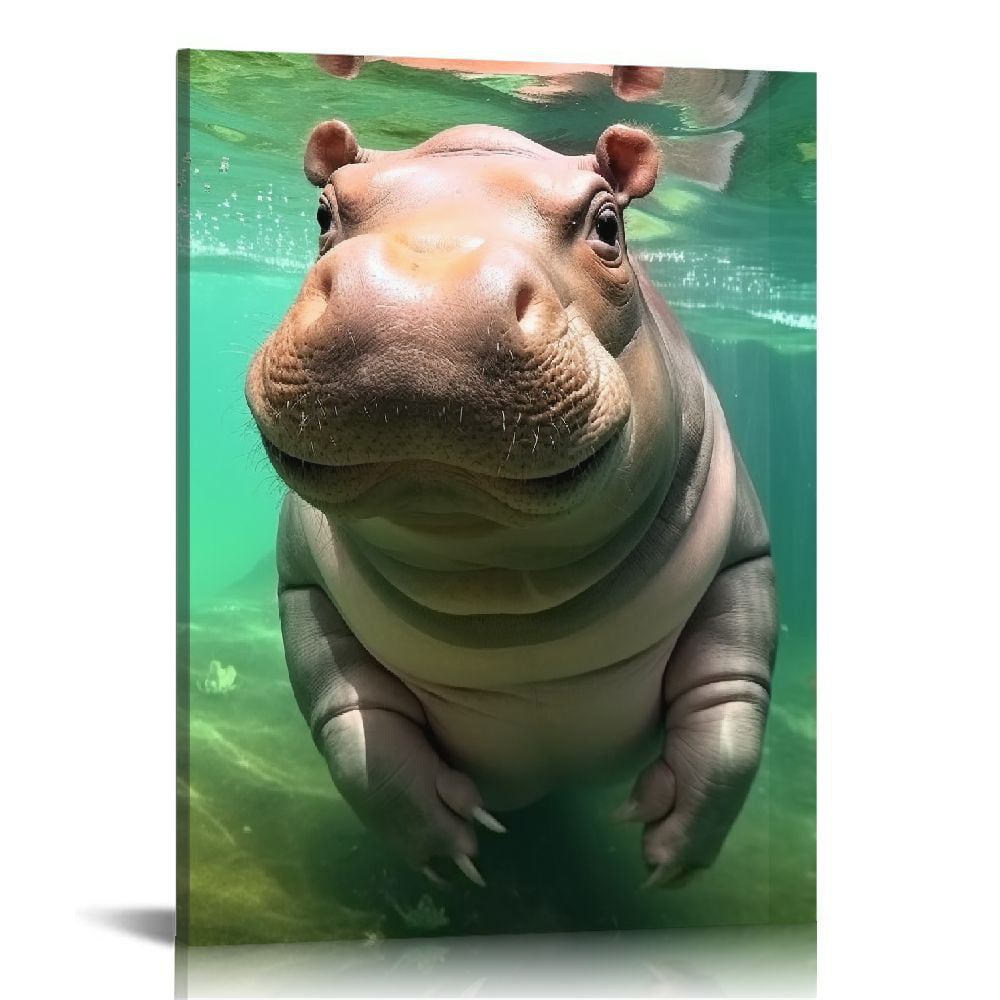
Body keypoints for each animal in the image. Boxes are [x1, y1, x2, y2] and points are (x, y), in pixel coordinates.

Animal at [245, 119, 777, 890]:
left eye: (609, 224)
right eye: (322, 213)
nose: (421, 299)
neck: (503, 602)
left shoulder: (743, 557)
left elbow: (731, 696)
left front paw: (669, 856)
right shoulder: (301, 586)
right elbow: (351, 721)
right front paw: (450, 850)